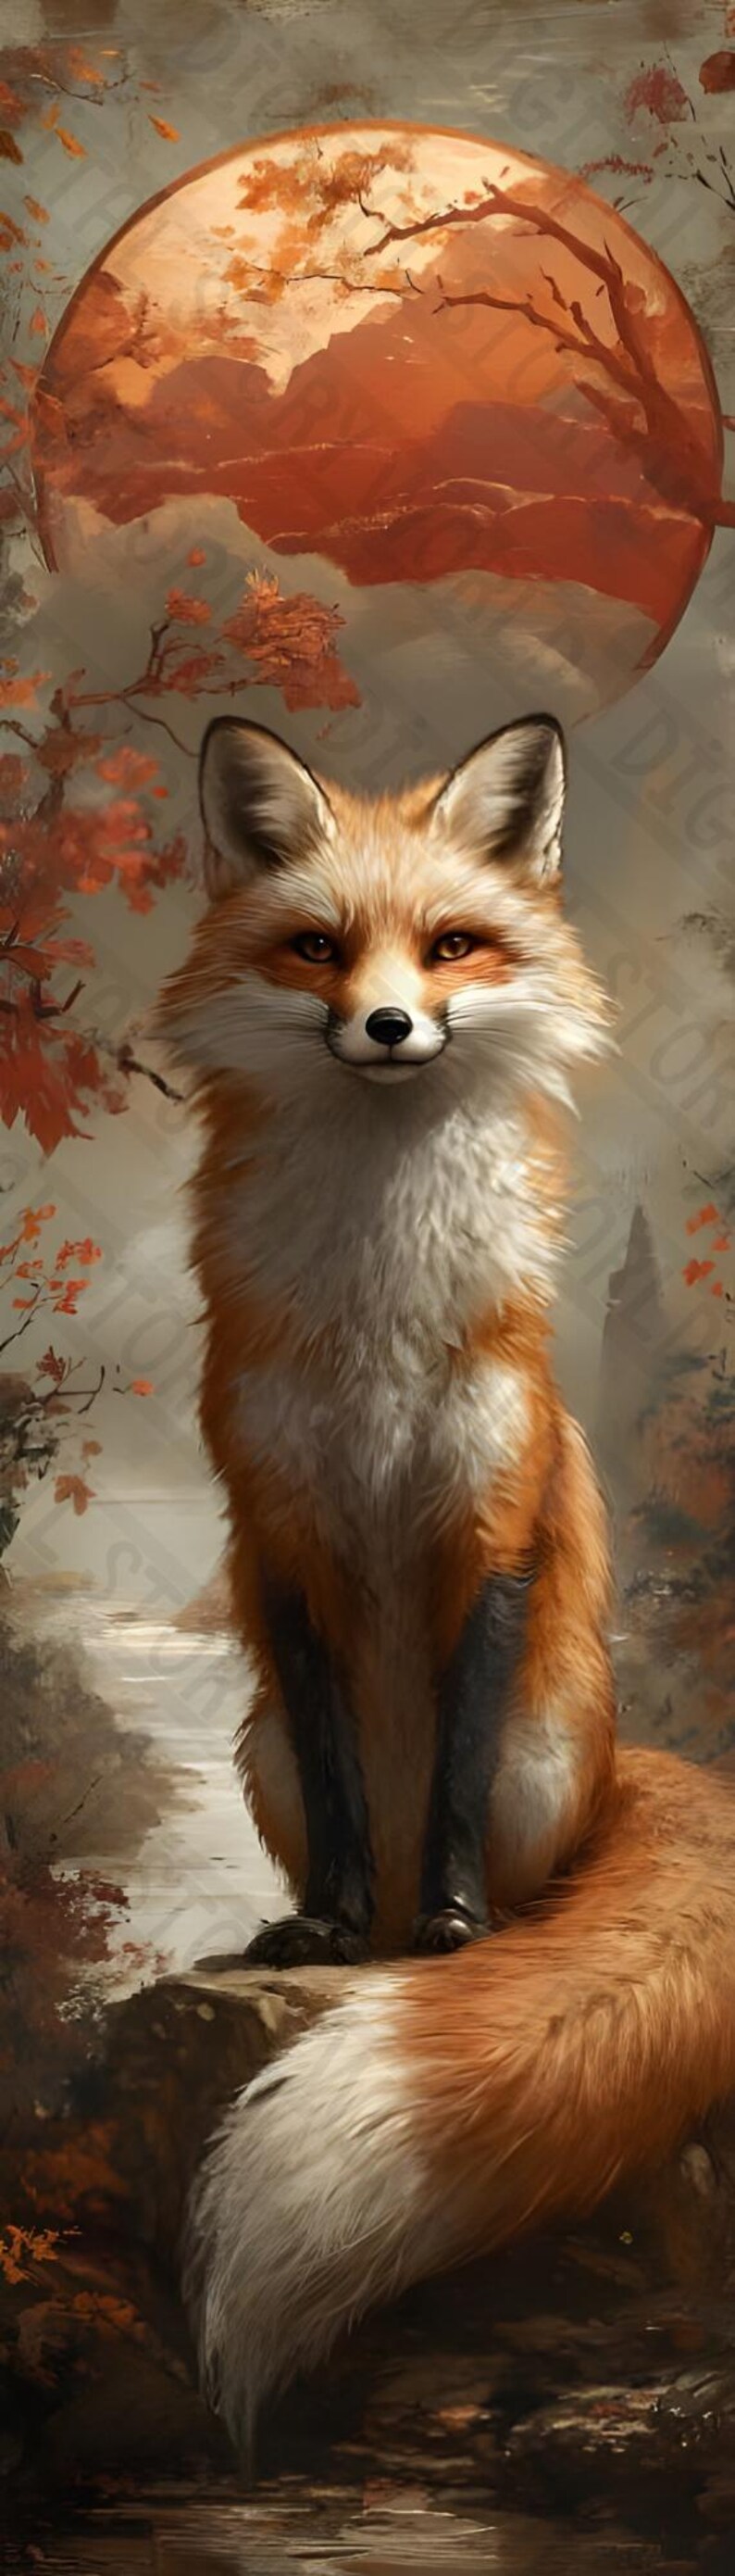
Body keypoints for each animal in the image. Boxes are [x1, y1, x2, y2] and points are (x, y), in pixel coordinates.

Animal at [152, 709, 735, 2460]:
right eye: (319, 951)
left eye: (453, 944)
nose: (391, 1024)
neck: (373, 1312)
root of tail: (625, 1762)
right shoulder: (279, 1529)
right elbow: (354, 1781)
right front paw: (342, 1925)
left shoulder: (489, 1523)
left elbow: (456, 1765)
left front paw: (459, 1931)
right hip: (261, 1749)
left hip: (551, 1752)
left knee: (541, 1851)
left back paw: (491, 1920)